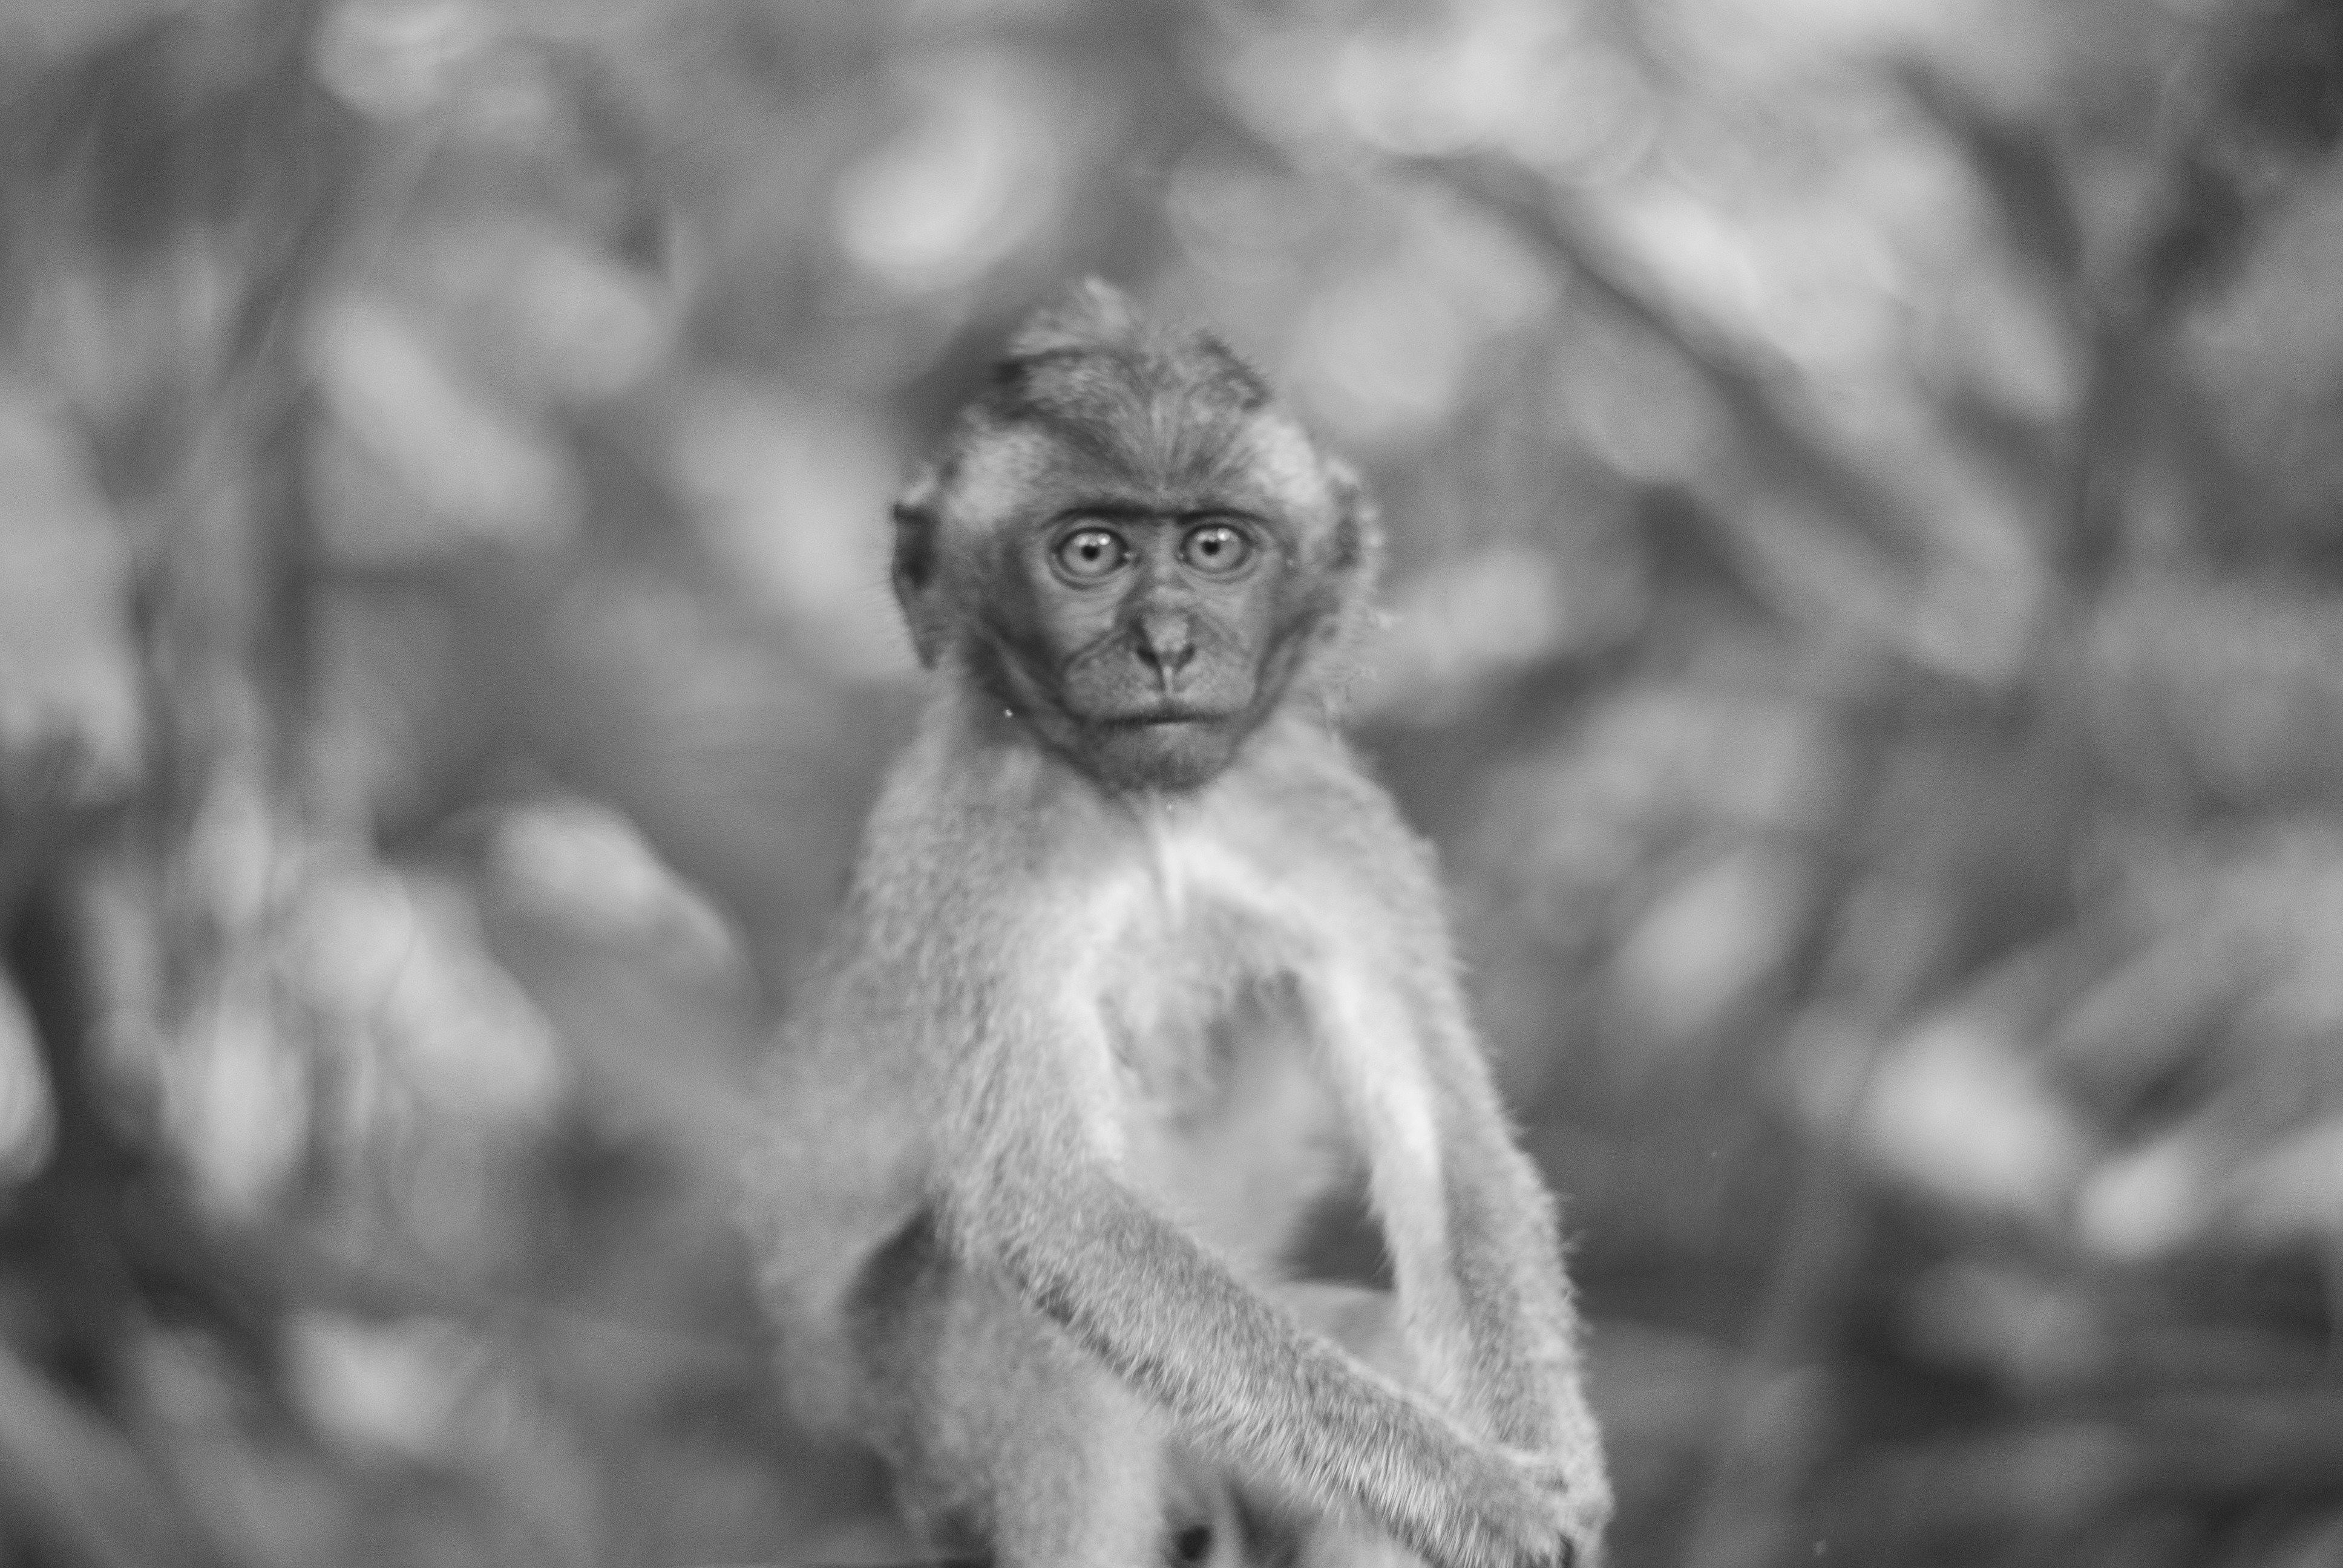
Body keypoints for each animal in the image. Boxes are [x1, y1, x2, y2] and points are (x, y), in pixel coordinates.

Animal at [743, 280, 1609, 1568]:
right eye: (1090, 552)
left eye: (1214, 546)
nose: (1165, 645)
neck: (1149, 815)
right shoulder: (967, 853)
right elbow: (1056, 1209)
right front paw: (1480, 1495)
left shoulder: (1330, 828)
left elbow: (1444, 1146)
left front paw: (1549, 1476)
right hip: (912, 1419)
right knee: (1012, 1292)